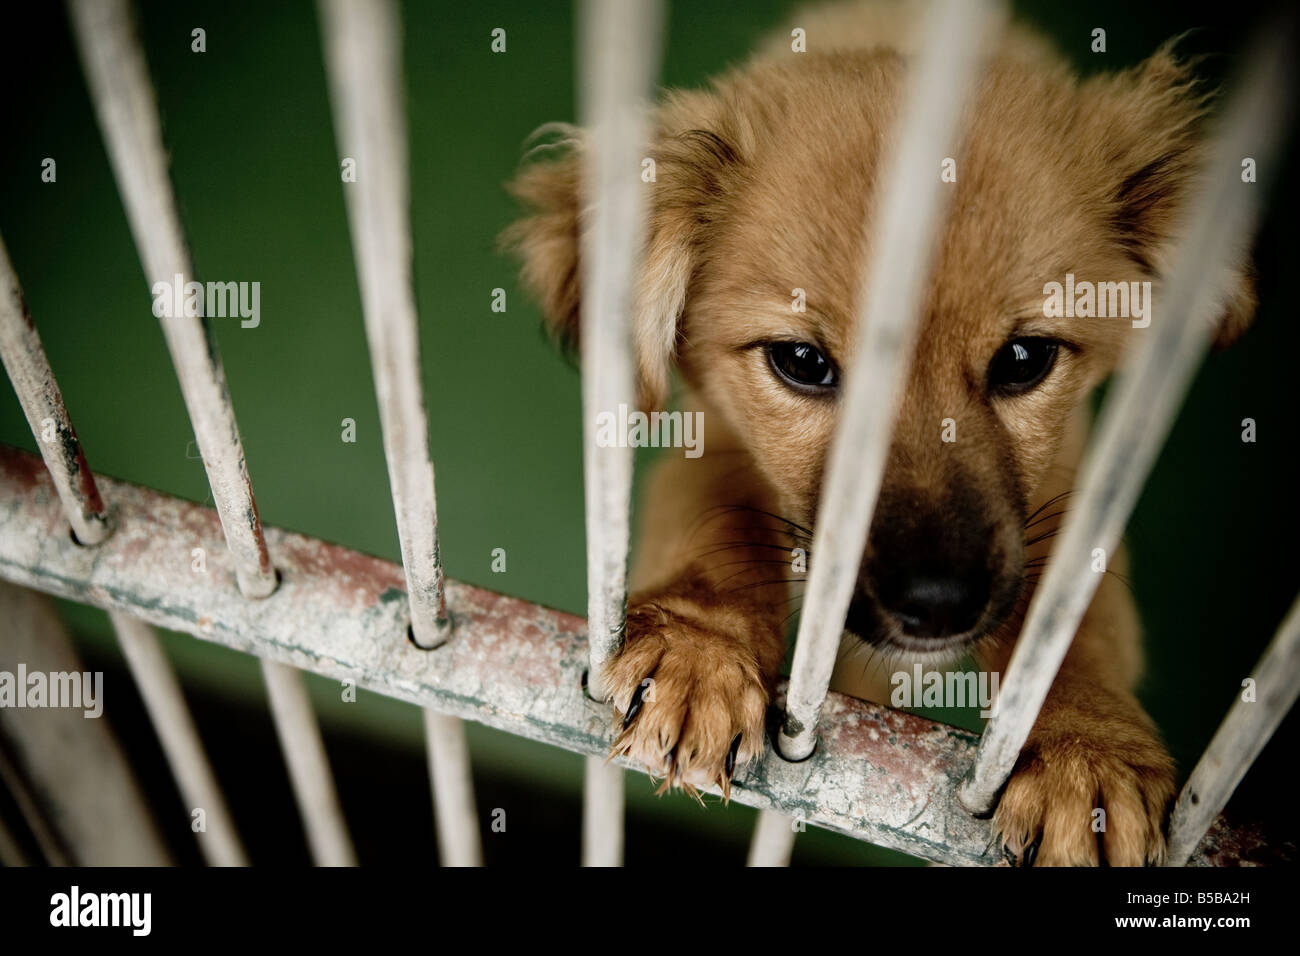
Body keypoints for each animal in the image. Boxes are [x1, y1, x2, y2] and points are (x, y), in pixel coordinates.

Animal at [504, 0, 1248, 868]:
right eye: (800, 361)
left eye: (1024, 358)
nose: (938, 606)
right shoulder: (714, 434)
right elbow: (715, 529)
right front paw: (700, 649)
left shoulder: (1073, 478)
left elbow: (1070, 625)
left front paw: (1087, 752)